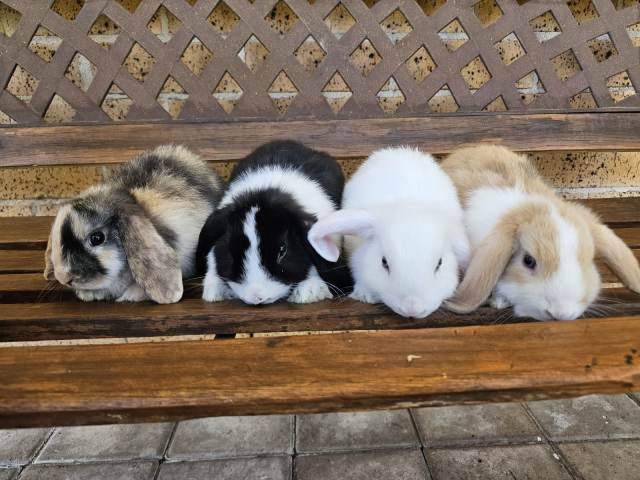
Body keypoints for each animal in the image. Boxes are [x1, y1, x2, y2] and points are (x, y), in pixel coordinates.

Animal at [308, 146, 470, 319]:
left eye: (439, 264)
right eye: (384, 262)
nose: (411, 309)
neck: (408, 204)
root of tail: (398, 150)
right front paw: (365, 295)